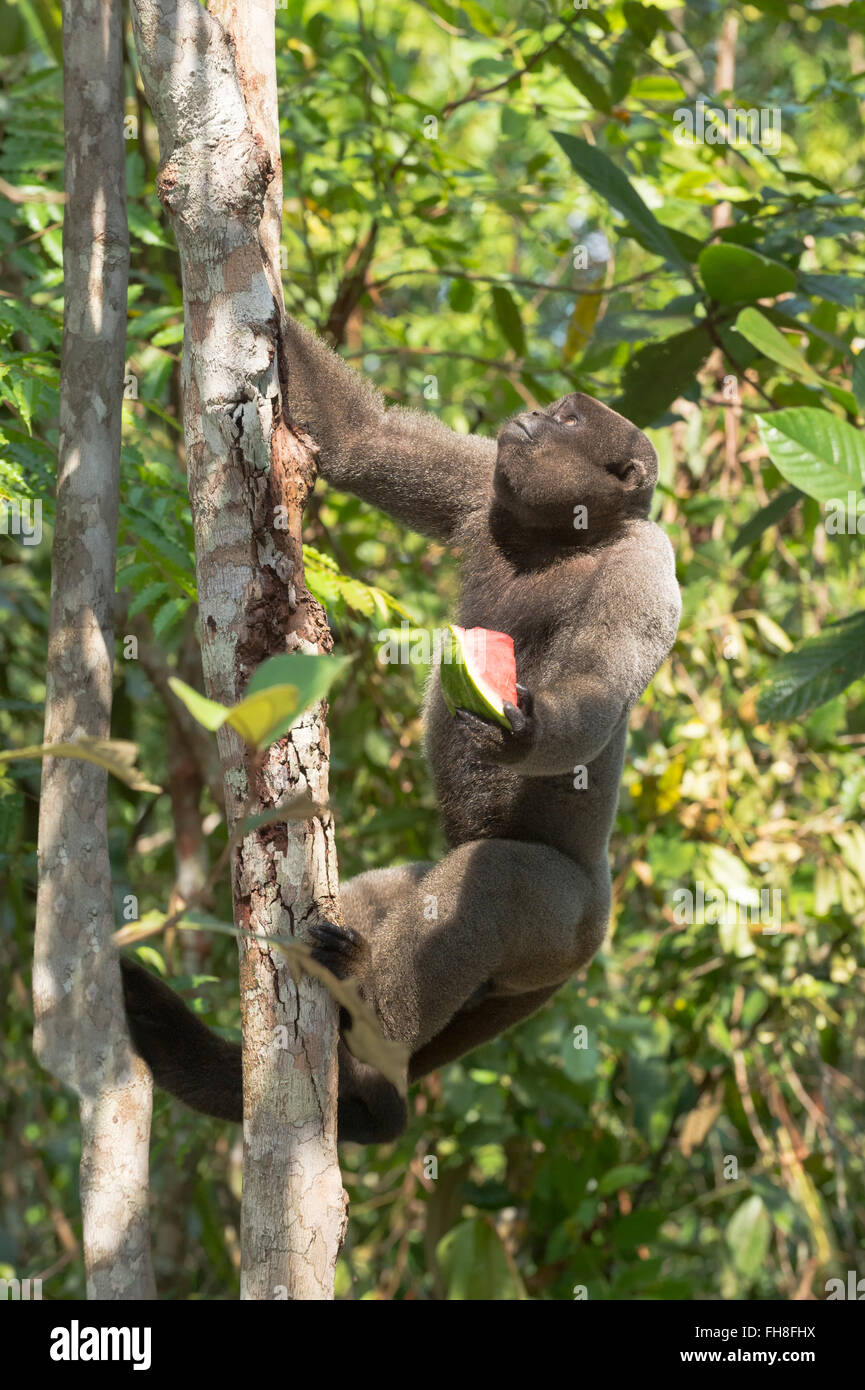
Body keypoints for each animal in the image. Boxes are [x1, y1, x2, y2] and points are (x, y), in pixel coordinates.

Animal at [121, 313, 681, 1143]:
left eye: (570, 420)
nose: (532, 413)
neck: (565, 536)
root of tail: (597, 923)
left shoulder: (645, 566)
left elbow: (600, 681)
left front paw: (523, 725)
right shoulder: (487, 481)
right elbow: (363, 438)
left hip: (561, 922)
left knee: (490, 888)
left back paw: (368, 1026)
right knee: (385, 899)